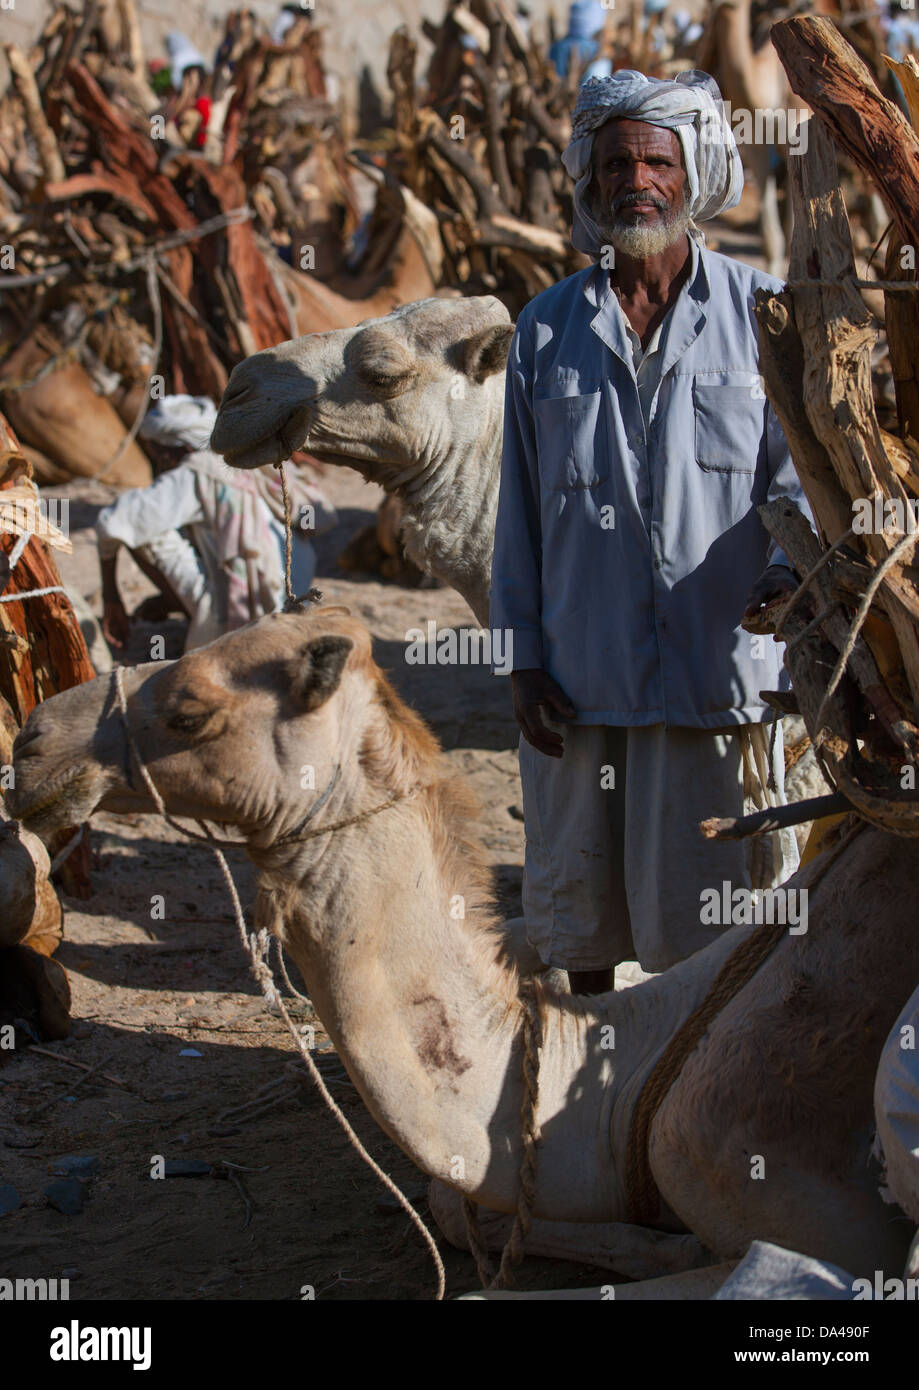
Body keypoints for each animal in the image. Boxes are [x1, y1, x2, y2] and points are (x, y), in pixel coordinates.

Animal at [8, 606, 917, 1287]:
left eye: (188, 710)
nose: (30, 743)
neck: (628, 1085)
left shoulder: (800, 1211)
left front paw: (667, 1245)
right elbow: (452, 1204)